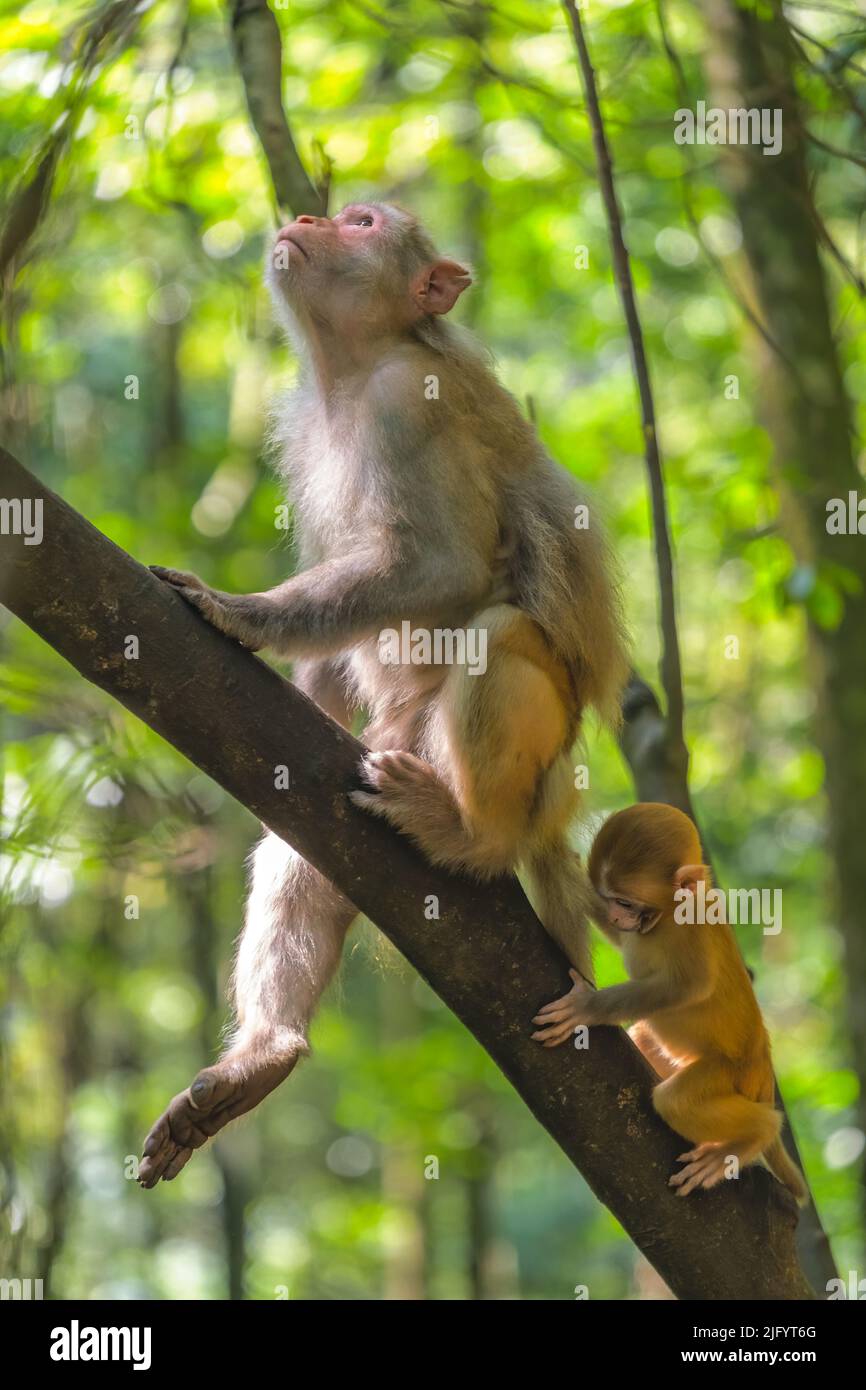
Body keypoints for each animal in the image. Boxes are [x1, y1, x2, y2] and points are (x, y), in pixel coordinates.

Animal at [137, 202, 628, 1187]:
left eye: (362, 222)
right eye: (335, 212)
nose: (306, 214)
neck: (353, 375)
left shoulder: (412, 401)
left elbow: (446, 571)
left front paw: (247, 613)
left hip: (506, 753)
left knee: (494, 634)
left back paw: (471, 834)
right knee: (306, 846)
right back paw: (266, 1053)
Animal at [532, 802, 807, 1203]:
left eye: (626, 901)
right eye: (608, 899)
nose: (616, 913)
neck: (664, 918)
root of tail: (761, 1065)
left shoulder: (690, 931)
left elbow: (688, 987)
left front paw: (586, 1008)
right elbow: (620, 937)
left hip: (725, 1073)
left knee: (675, 1102)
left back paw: (750, 1138)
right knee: (648, 1039)